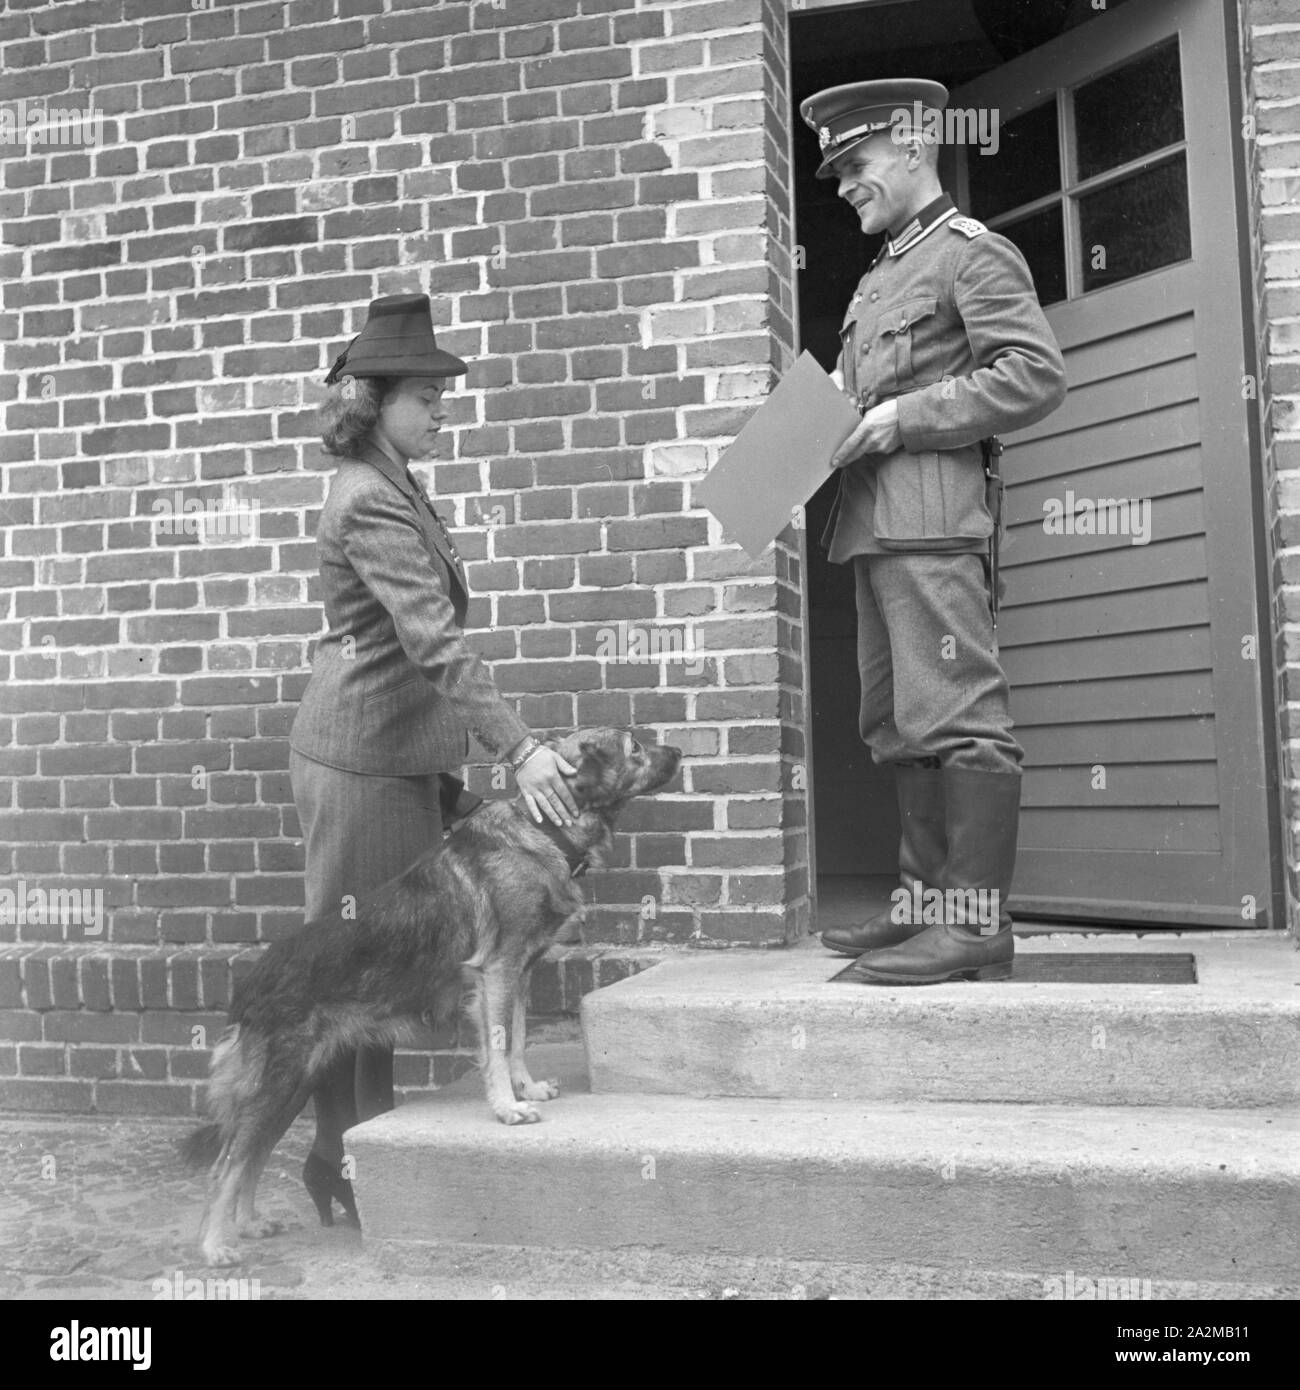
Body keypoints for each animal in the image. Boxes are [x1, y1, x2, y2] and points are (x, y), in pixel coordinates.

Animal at [180, 733, 681, 1267]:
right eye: (634, 747)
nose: (677, 753)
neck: (543, 832)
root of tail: (248, 985)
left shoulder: (519, 972)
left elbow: (517, 1040)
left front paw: (525, 1088)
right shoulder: (497, 971)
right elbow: (498, 1049)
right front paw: (507, 1108)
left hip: (294, 1084)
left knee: (252, 1156)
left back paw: (249, 1223)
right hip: (279, 1081)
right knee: (227, 1164)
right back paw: (216, 1245)